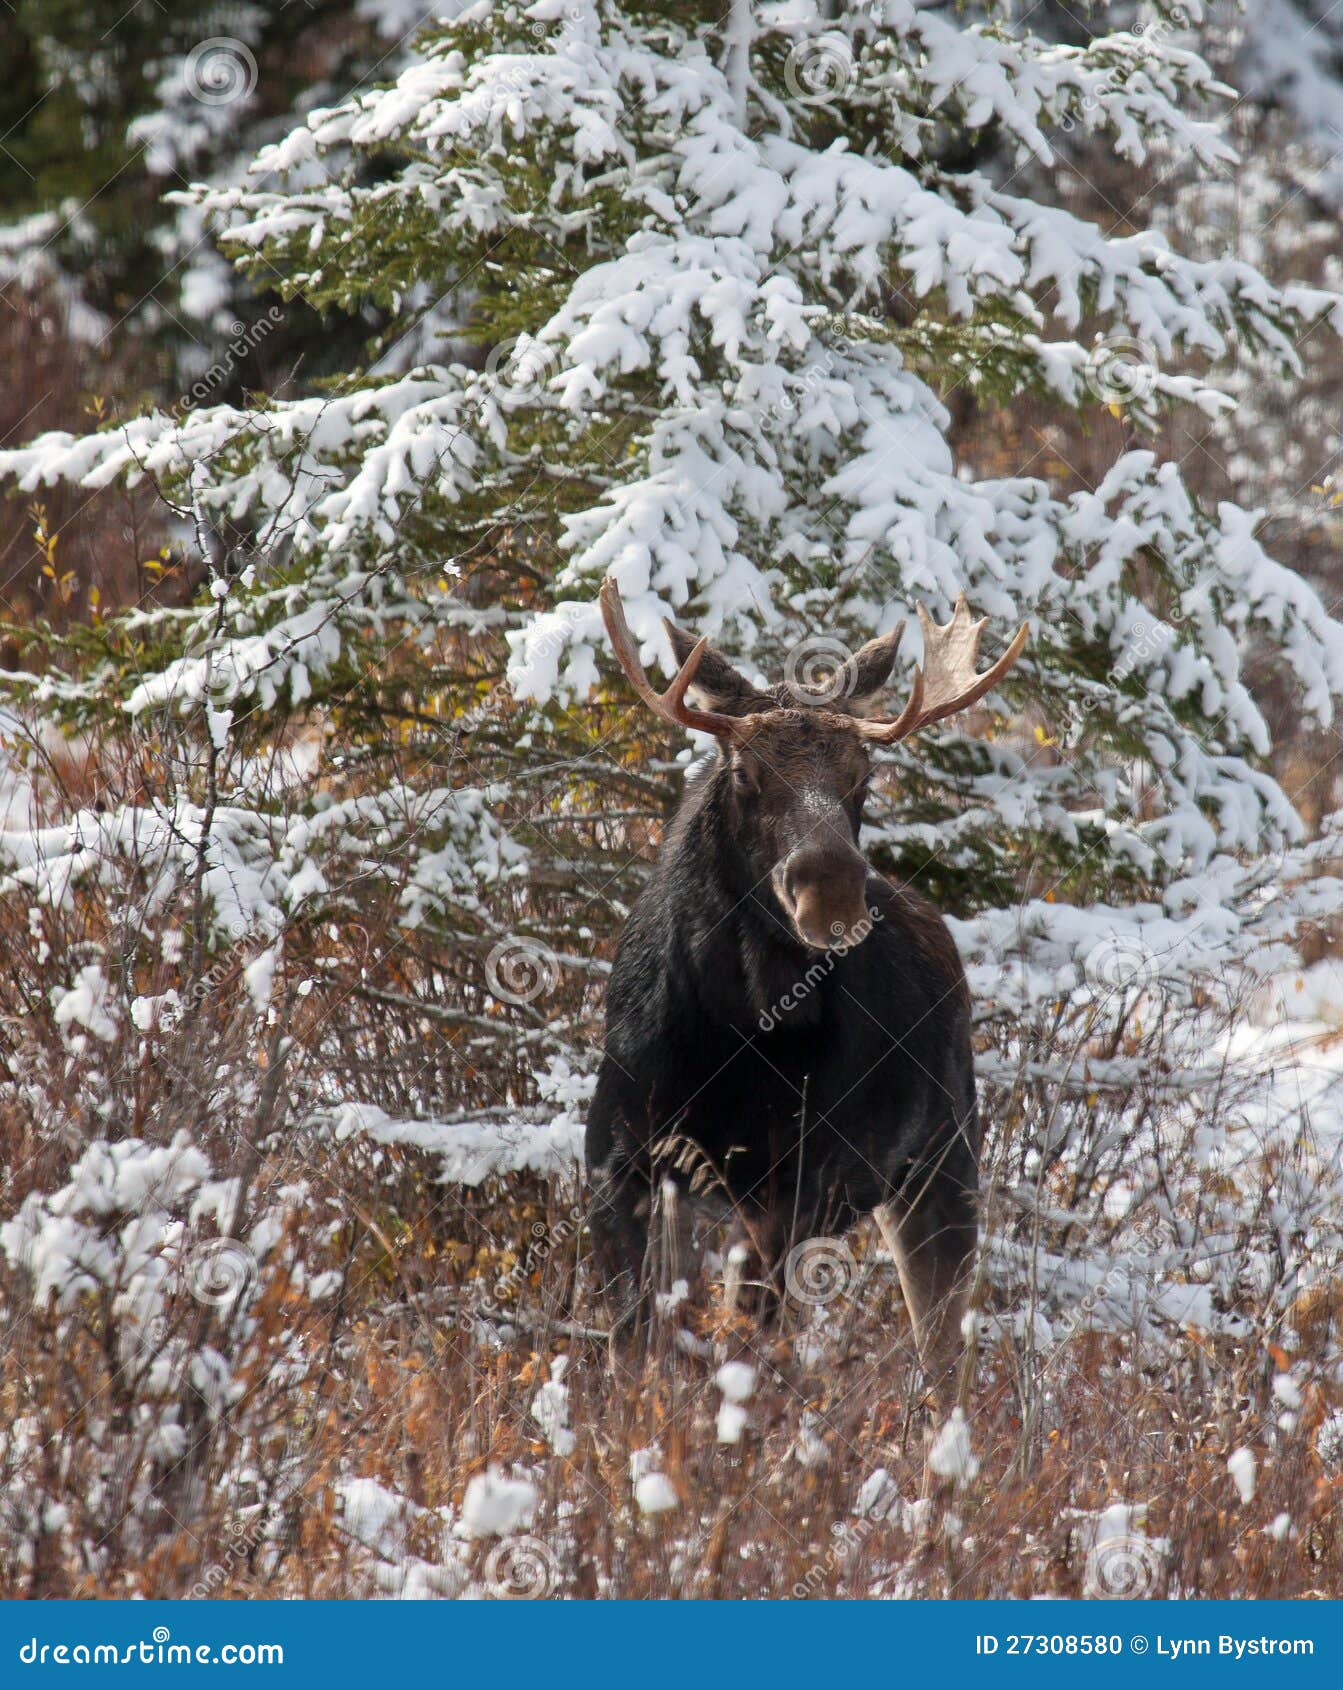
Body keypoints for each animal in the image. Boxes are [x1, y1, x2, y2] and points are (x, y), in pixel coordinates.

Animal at [585, 577, 1028, 1402]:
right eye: (743, 772)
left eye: (865, 777)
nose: (832, 893)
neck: (732, 1037)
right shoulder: (618, 1158)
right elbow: (637, 1345)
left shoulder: (798, 1186)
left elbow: (741, 1348)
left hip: (944, 1162)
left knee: (941, 1350)